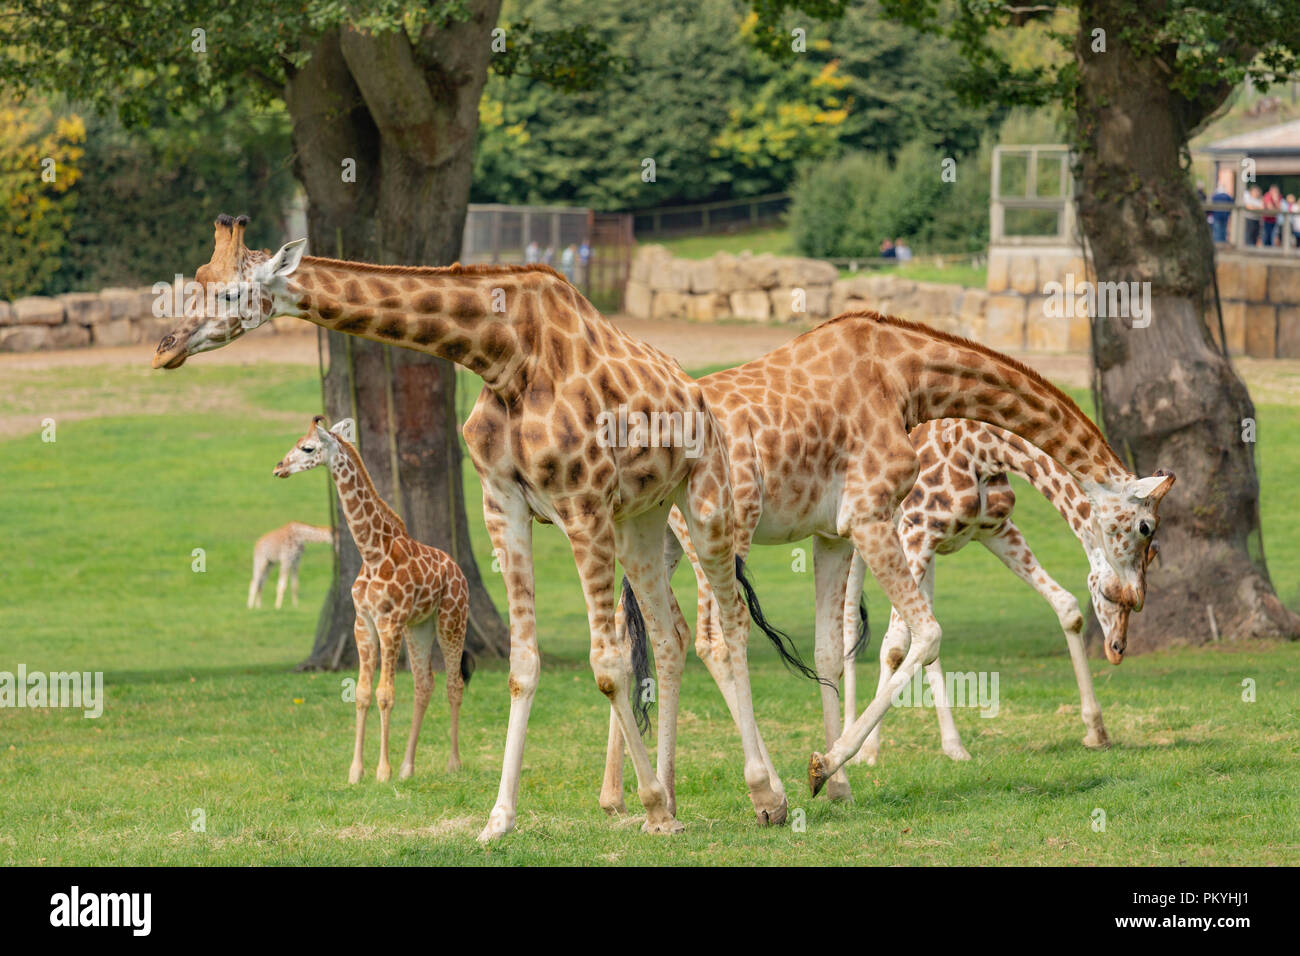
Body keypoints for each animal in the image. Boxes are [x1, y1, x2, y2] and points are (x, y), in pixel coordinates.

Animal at [273, 416, 471, 782]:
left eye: (307, 447)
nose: (279, 467)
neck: (373, 552)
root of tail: (458, 570)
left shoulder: (388, 623)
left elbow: (385, 694)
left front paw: (382, 772)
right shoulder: (362, 622)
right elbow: (363, 694)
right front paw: (356, 772)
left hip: (452, 619)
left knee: (454, 683)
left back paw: (453, 763)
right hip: (419, 627)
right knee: (424, 684)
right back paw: (408, 768)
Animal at [839, 418, 1161, 768]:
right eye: (1111, 593)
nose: (1117, 649)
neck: (983, 451)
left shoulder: (992, 530)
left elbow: (1066, 605)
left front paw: (1097, 731)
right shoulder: (917, 531)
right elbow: (894, 645)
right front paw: (867, 751)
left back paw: (954, 746)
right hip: (855, 540)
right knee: (848, 627)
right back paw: (846, 735)